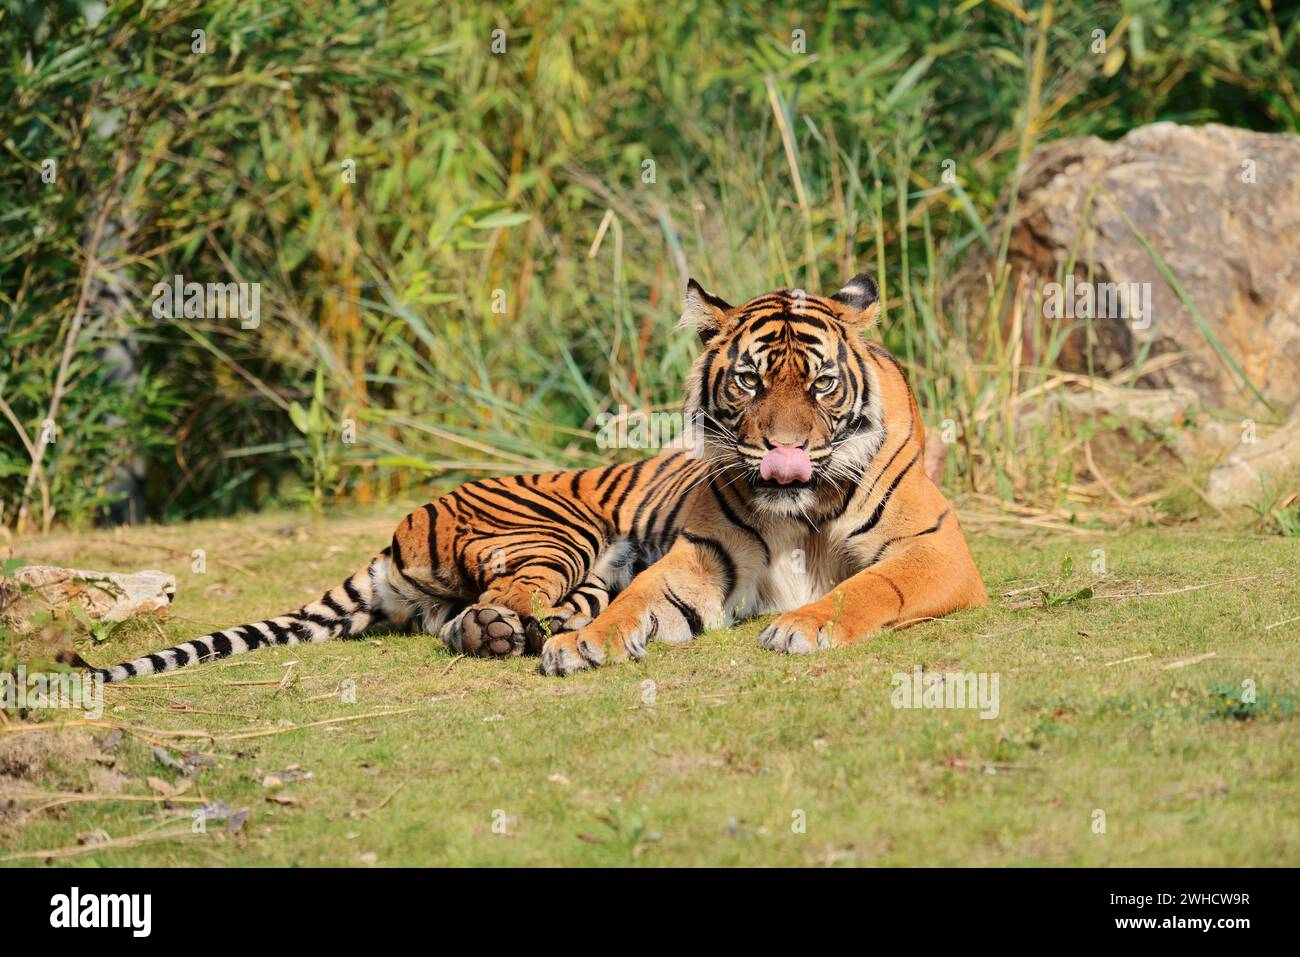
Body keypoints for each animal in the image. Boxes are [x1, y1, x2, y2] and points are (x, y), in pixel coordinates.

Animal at [91, 273, 987, 683]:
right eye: (749, 381)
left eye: (822, 385)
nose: (784, 451)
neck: (799, 508)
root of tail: (398, 529)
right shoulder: (704, 559)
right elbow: (642, 597)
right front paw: (583, 647)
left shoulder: (936, 551)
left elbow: (868, 586)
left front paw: (805, 624)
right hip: (557, 530)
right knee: (497, 597)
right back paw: (520, 631)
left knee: (464, 614)